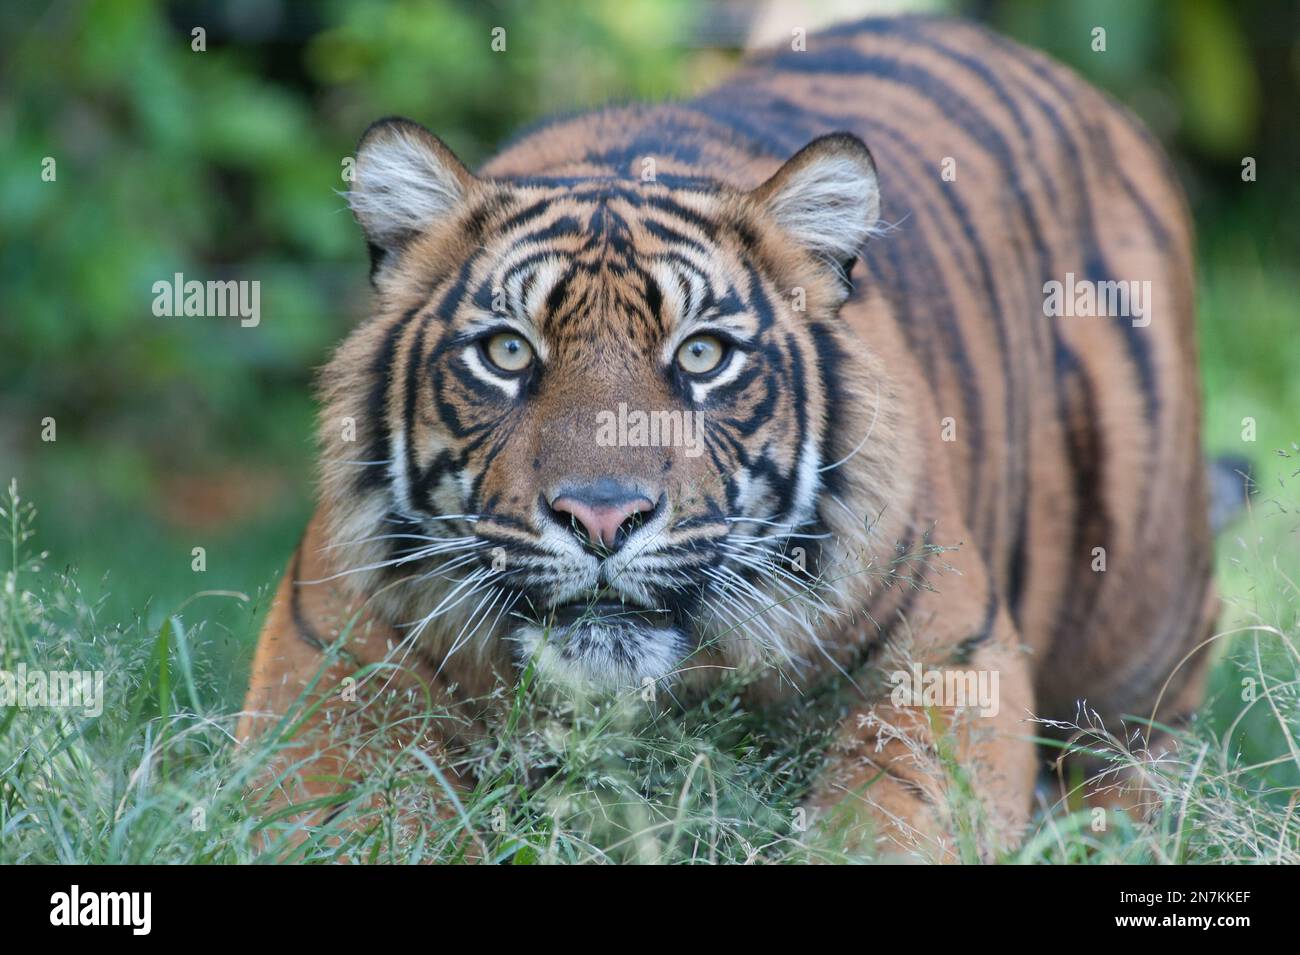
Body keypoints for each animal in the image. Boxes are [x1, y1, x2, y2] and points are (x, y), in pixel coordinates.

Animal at [238, 14, 1219, 860]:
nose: (602, 519)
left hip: (1138, 609)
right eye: (508, 351)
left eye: (703, 353)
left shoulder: (950, 664)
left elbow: (888, 824)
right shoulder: (335, 674)